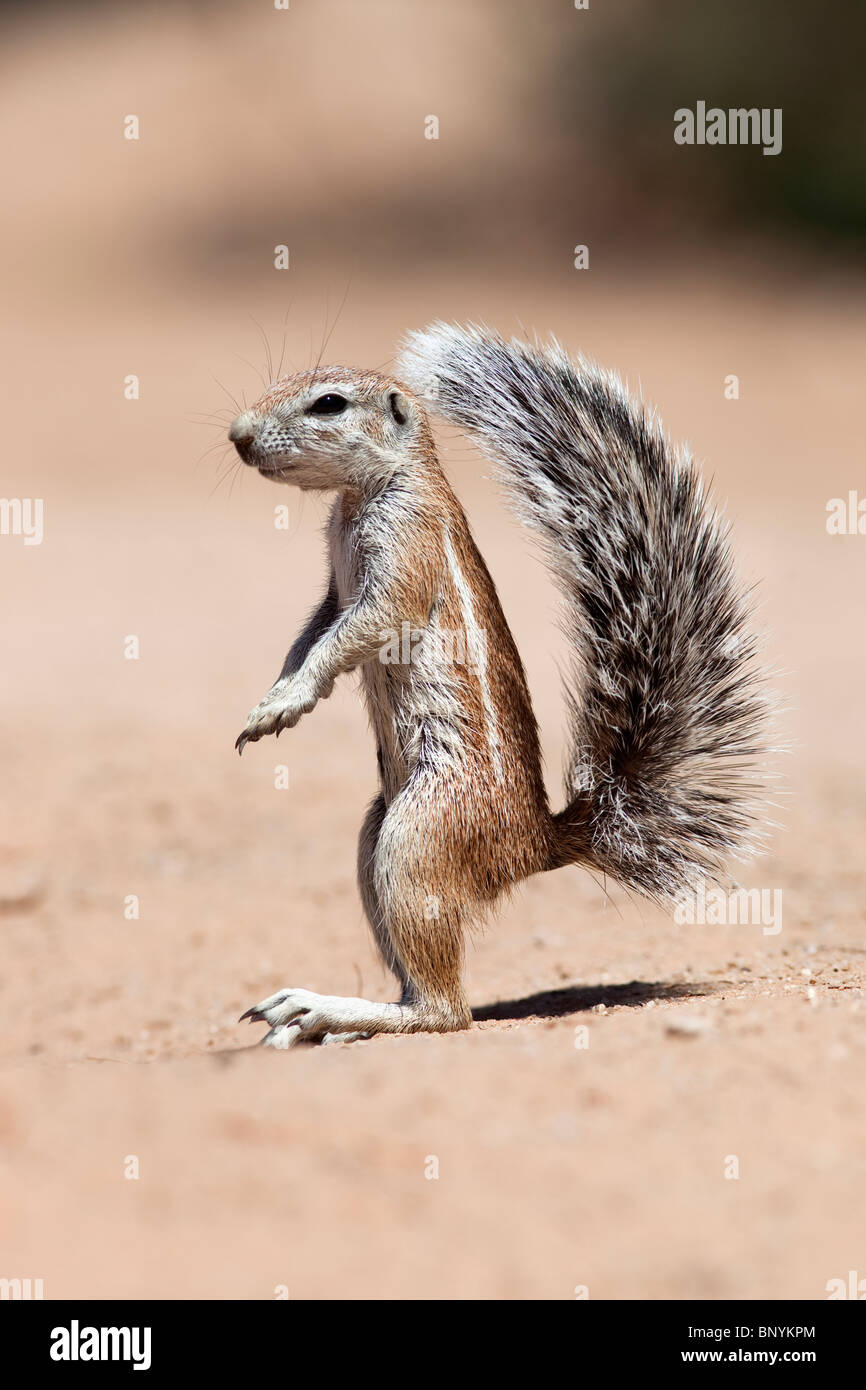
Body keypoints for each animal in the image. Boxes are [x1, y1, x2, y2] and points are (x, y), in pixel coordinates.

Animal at [227, 322, 769, 1047]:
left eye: (330, 404)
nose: (239, 434)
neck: (363, 496)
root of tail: (535, 843)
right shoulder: (332, 588)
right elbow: (312, 631)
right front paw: (273, 696)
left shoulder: (403, 560)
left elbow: (355, 632)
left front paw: (289, 700)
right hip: (376, 836)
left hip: (418, 836)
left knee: (446, 1012)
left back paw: (331, 1010)